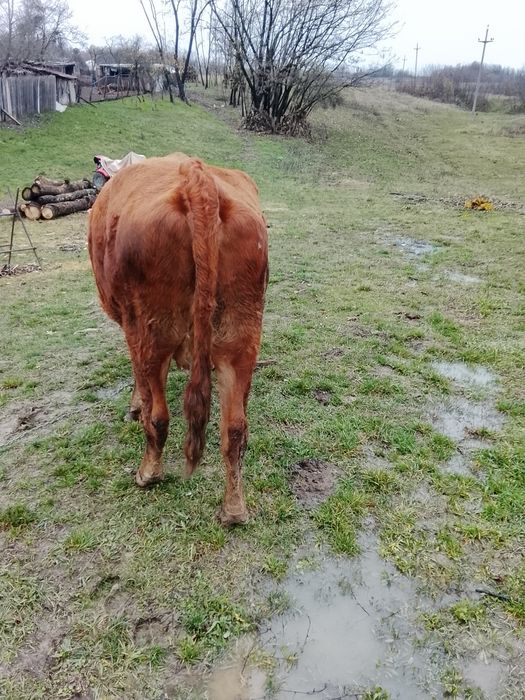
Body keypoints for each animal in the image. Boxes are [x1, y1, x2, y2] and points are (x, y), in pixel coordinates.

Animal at [88, 153, 268, 525]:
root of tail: (195, 177)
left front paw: (133, 406)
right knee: (235, 429)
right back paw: (234, 509)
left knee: (158, 416)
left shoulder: (130, 326)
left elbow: (138, 383)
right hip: (241, 336)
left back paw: (148, 473)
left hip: (152, 332)